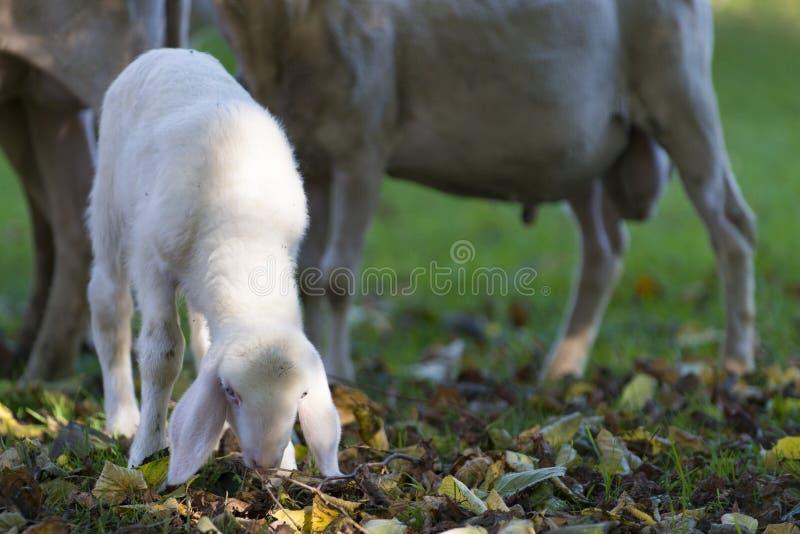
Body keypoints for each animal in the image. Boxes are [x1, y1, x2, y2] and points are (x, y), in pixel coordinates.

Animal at [86, 48, 341, 484]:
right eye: (231, 392)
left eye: (303, 395)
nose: (267, 464)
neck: (245, 224)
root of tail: (169, 52)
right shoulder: (151, 262)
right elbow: (161, 354)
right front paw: (147, 451)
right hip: (110, 205)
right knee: (108, 305)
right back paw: (122, 418)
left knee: (202, 336)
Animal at [215, 0, 756, 382]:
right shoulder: (311, 157)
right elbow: (306, 276)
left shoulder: (362, 147)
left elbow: (337, 275)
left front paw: (341, 375)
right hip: (581, 153)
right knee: (604, 250)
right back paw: (561, 369)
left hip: (680, 92)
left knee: (732, 225)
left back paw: (735, 365)